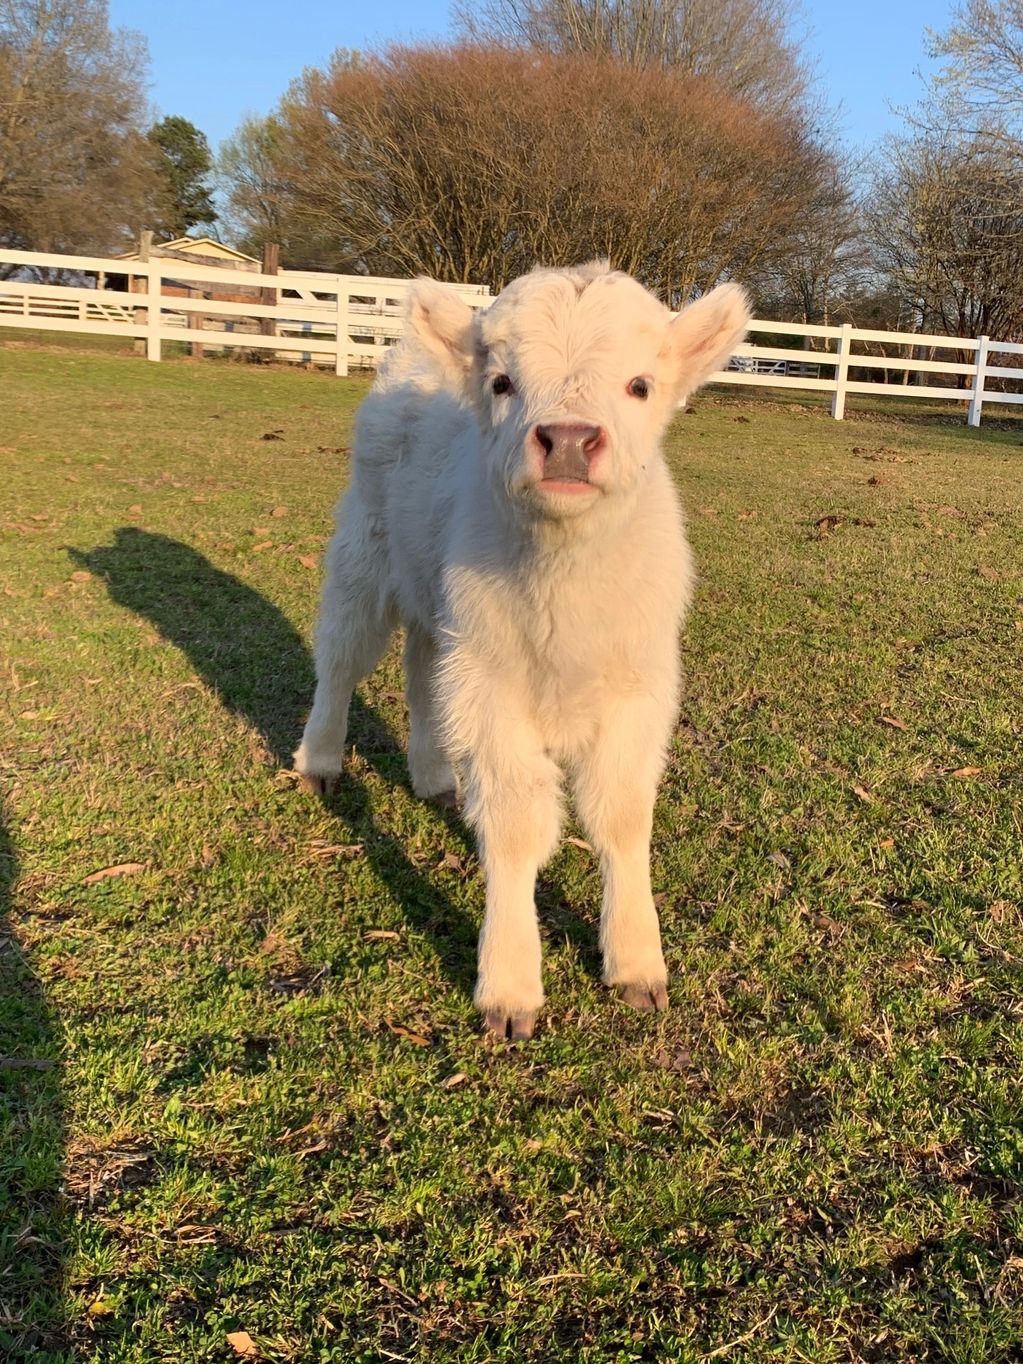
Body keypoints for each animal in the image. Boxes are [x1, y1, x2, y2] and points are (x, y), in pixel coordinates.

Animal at [295, 261, 750, 1039]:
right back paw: (321, 762)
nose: (567, 439)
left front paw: (637, 962)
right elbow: (514, 826)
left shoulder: (638, 689)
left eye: (639, 385)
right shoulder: (494, 691)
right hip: (367, 550)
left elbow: (621, 815)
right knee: (342, 658)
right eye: (503, 382)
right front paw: (508, 986)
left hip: (443, 601)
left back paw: (434, 777)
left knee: (423, 668)